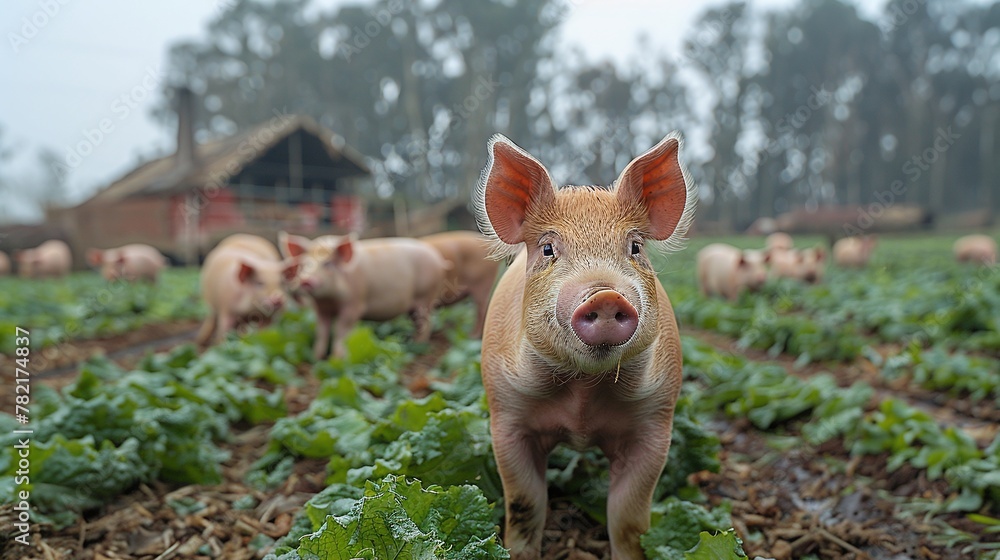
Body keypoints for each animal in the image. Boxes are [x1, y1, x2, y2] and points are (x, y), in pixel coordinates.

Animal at [278, 232, 448, 360]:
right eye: (304, 264)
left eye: (328, 264)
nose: (306, 280)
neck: (330, 301)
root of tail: (439, 260)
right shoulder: (321, 309)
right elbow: (322, 331)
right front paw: (317, 358)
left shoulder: (354, 305)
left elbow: (341, 330)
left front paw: (337, 359)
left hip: (427, 296)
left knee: (427, 323)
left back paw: (417, 347)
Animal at [475, 132, 696, 559]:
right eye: (548, 248)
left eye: (635, 247)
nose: (606, 295)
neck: (582, 394)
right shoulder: (507, 416)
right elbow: (525, 504)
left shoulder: (656, 421)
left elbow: (628, 519)